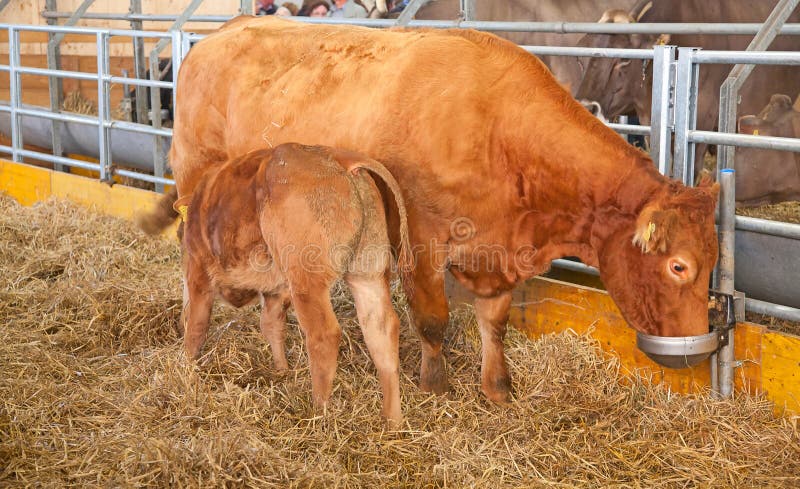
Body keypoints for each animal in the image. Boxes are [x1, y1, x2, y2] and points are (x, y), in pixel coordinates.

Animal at [179, 143, 411, 423]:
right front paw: (282, 370)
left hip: (307, 281)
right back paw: (392, 420)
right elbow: (272, 325)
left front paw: (187, 367)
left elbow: (196, 324)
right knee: (382, 331)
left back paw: (318, 411)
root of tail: (338, 157)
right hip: (368, 272)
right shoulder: (276, 291)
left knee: (324, 334)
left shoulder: (198, 271)